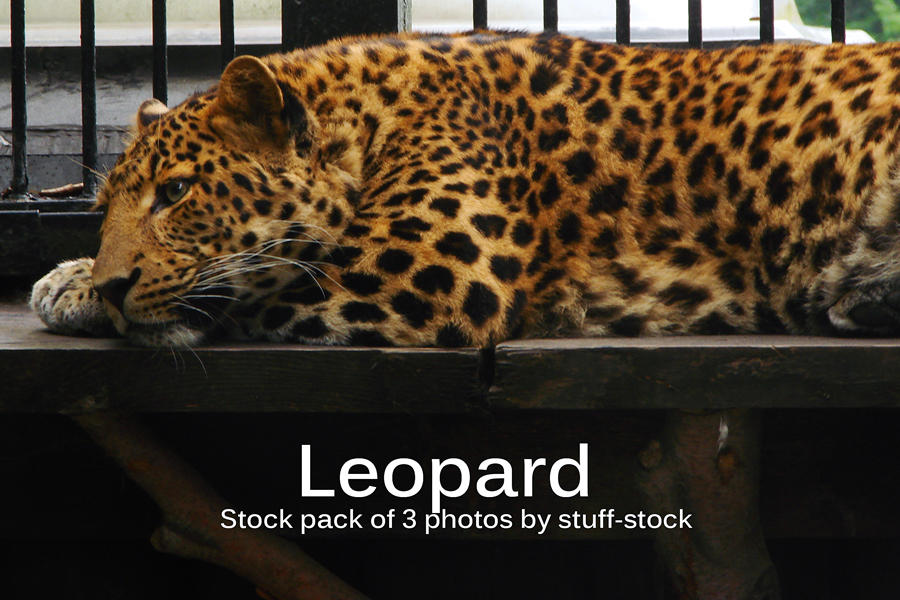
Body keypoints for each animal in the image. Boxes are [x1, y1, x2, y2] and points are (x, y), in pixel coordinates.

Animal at [28, 31, 900, 348]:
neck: (367, 120)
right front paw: (71, 278)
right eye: (103, 210)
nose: (114, 284)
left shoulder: (421, 271)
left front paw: (84, 292)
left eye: (177, 192)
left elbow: (254, 283)